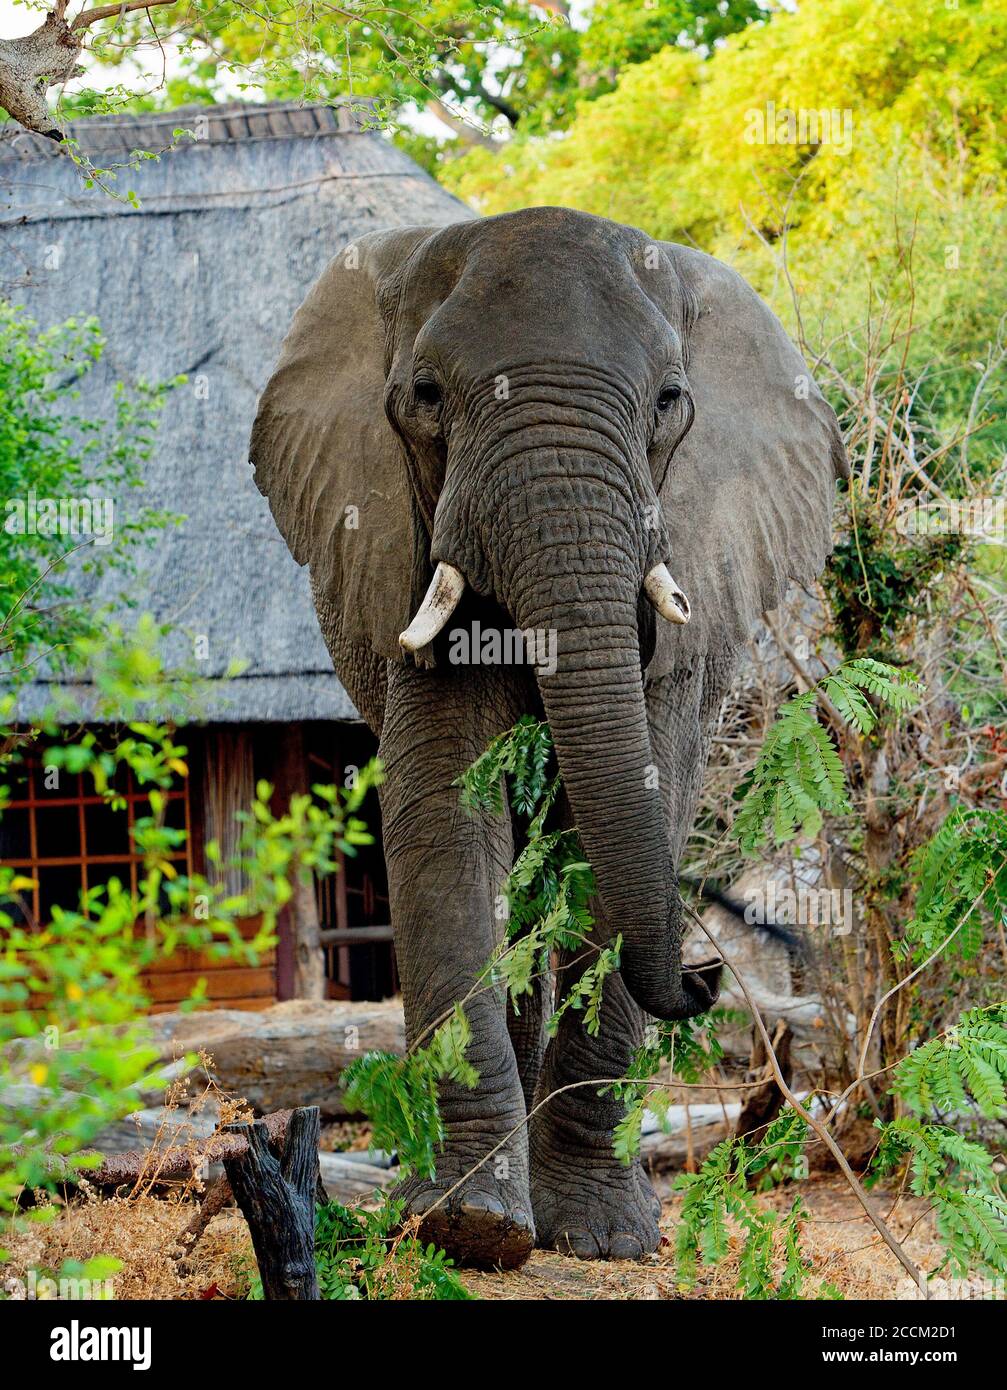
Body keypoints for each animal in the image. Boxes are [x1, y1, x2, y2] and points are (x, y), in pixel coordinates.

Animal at [249, 206, 847, 1270]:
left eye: (669, 401)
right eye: (426, 396)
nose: (706, 978)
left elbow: (637, 801)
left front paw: (603, 1237)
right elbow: (446, 815)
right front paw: (470, 1225)